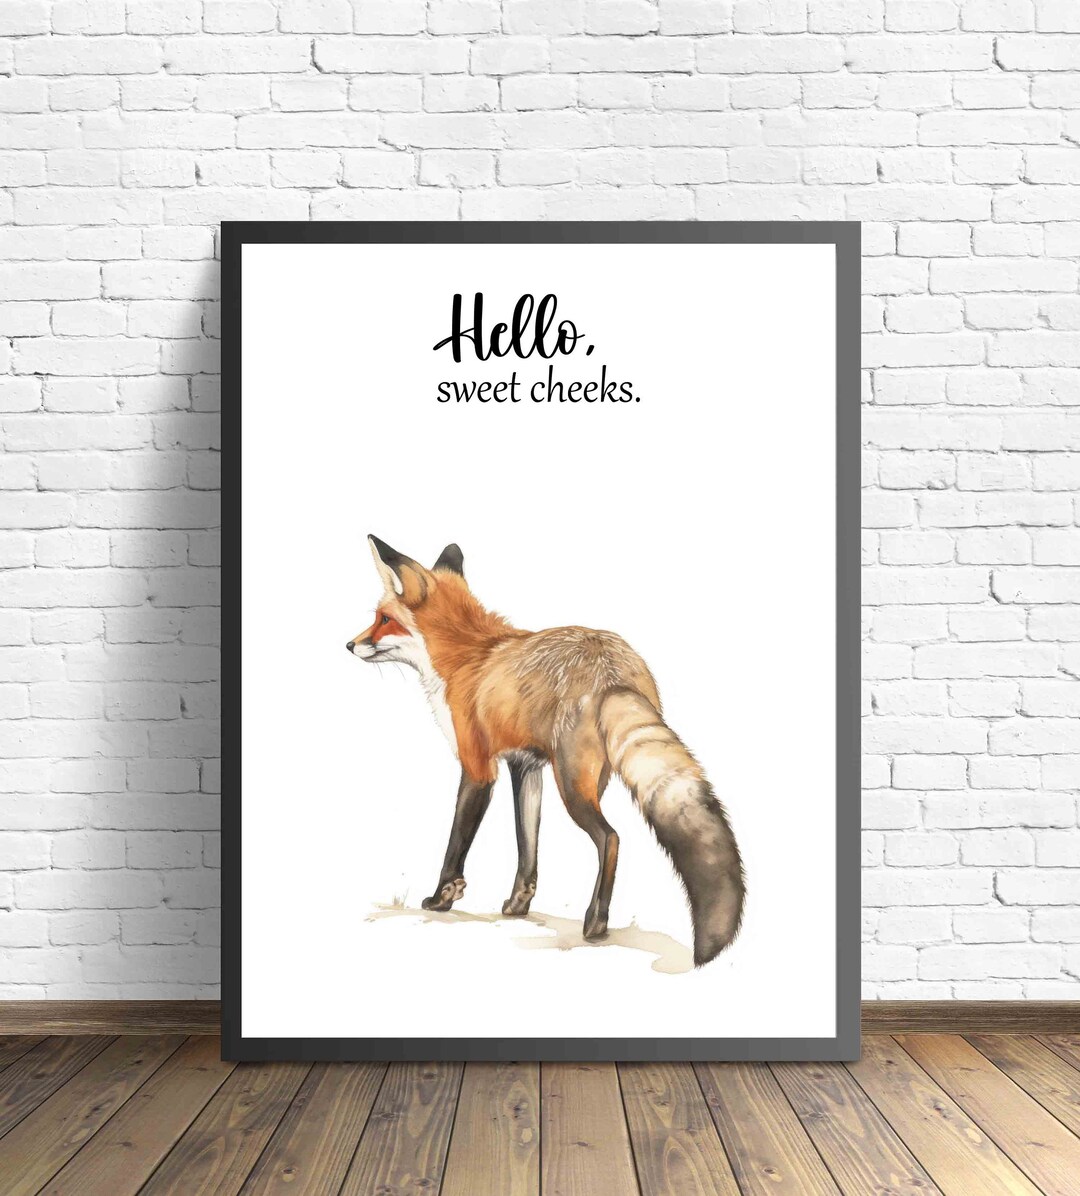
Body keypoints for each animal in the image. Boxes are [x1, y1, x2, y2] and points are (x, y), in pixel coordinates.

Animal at [347, 535, 745, 967]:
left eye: (383, 619)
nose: (350, 645)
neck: (467, 655)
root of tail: (611, 668)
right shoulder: (526, 766)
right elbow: (528, 844)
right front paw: (518, 903)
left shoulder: (478, 766)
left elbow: (457, 842)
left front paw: (442, 897)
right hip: (592, 777)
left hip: (571, 783)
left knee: (610, 838)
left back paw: (596, 921)